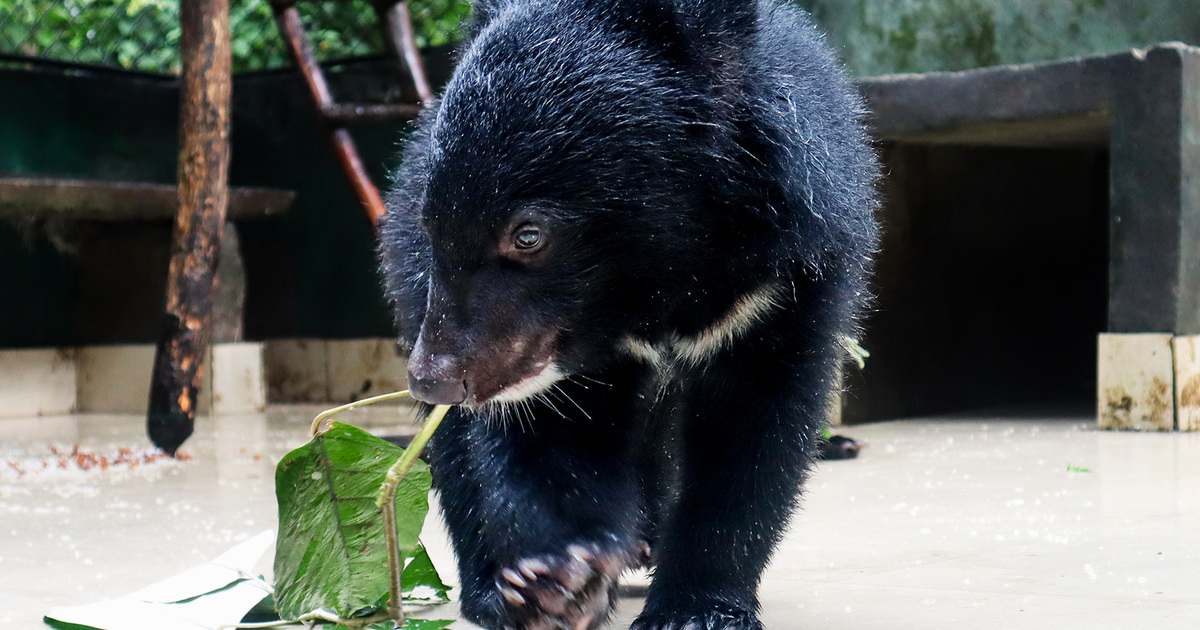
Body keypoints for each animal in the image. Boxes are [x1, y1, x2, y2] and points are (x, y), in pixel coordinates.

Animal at [377, 1, 879, 629]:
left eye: (527, 235)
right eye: (435, 227)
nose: (435, 379)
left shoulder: (784, 285)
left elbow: (753, 430)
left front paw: (697, 607)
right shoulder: (544, 350)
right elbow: (547, 435)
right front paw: (558, 582)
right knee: (453, 452)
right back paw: (495, 590)